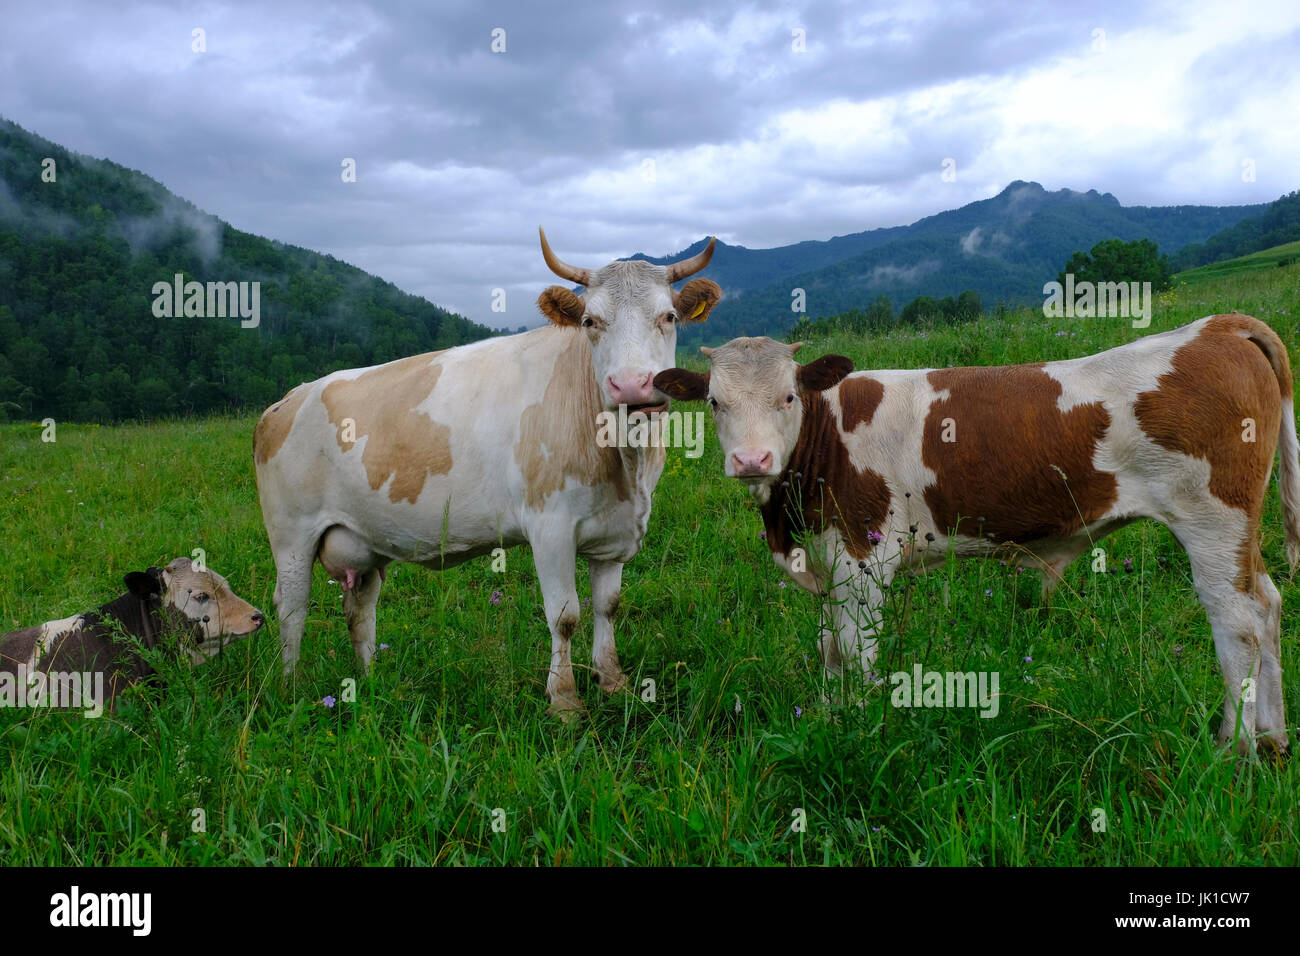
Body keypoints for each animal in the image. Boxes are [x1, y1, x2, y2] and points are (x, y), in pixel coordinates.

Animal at [253, 229, 721, 715]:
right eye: (591, 321)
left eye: (668, 316)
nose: (631, 386)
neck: (626, 466)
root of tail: (286, 400)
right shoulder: (550, 526)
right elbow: (565, 615)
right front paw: (565, 701)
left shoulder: (615, 529)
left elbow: (606, 606)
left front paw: (614, 683)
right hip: (291, 534)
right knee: (292, 603)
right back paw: (290, 686)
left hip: (361, 537)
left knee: (360, 606)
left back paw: (371, 681)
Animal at [654, 313, 1300, 754]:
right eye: (713, 402)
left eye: (788, 396)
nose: (751, 460)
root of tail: (1217, 326)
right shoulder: (828, 557)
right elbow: (829, 651)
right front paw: (827, 720)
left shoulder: (864, 560)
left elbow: (856, 655)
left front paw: (854, 733)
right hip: (1240, 530)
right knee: (1268, 605)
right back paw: (1273, 740)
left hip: (1212, 519)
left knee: (1239, 624)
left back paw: (1233, 751)